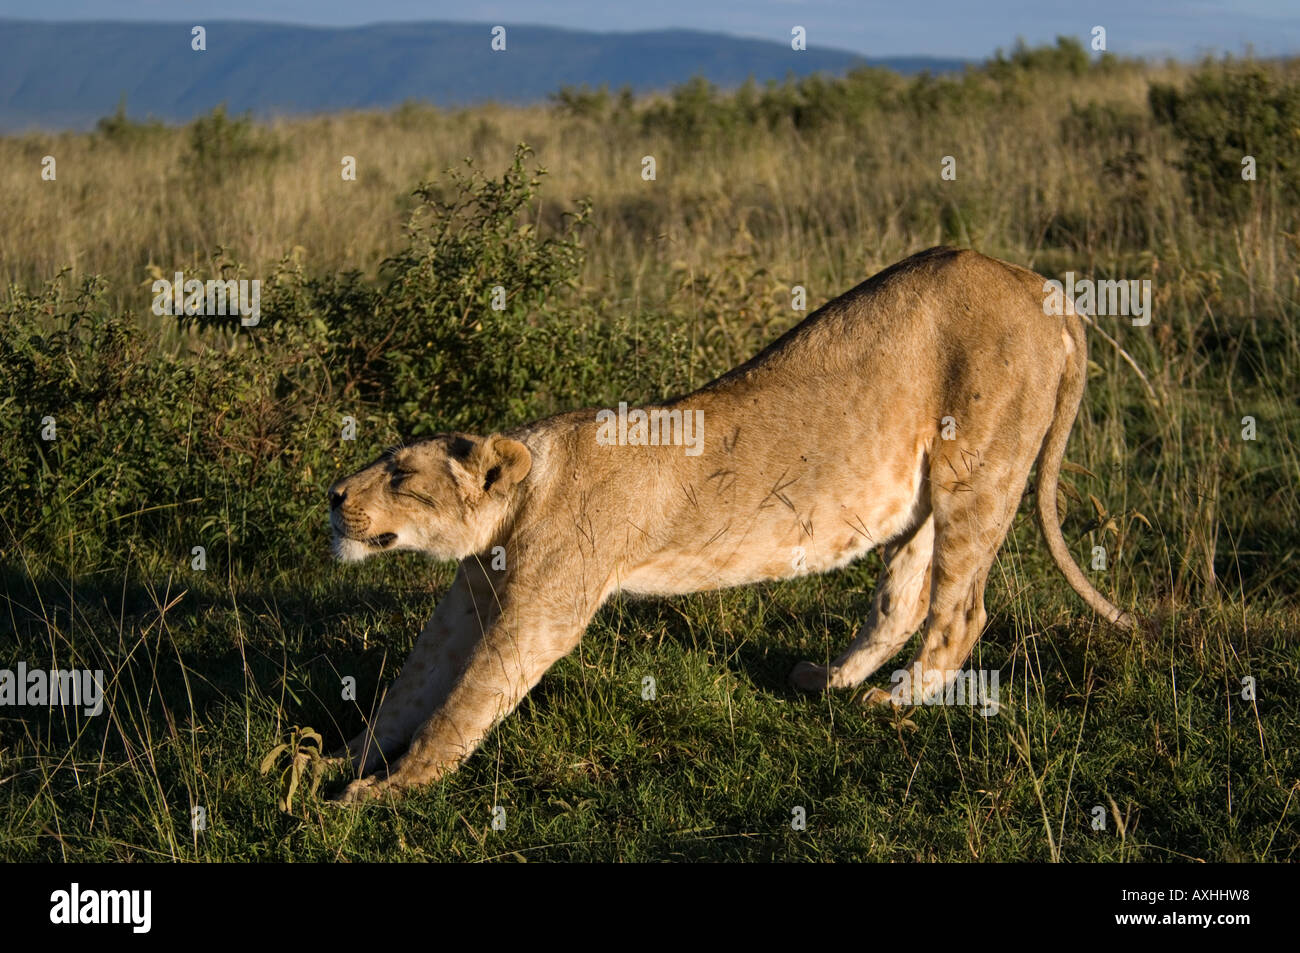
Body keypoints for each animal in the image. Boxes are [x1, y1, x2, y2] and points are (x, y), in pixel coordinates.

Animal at [327, 246, 1134, 802]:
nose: (334, 494)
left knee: (959, 611)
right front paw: (334, 760)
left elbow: (463, 703)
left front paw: (384, 791)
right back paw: (828, 680)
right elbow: (410, 688)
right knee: (902, 600)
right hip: (925, 491)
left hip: (979, 472)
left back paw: (891, 703)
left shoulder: (543, 609)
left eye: (400, 475)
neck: (522, 496)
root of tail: (1042, 285)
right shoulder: (466, 600)